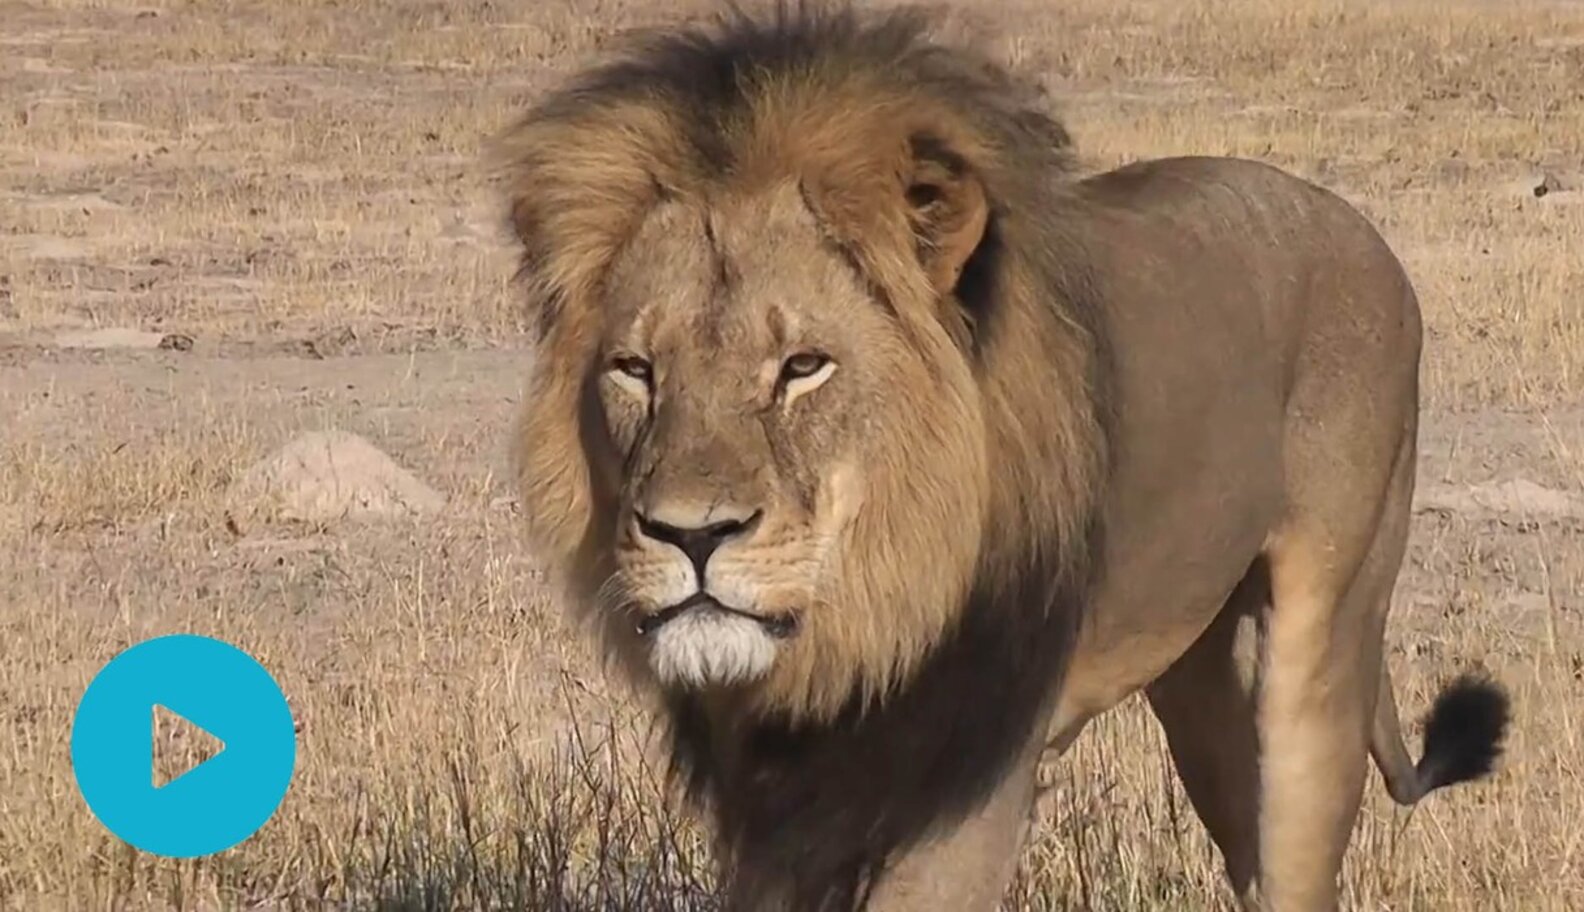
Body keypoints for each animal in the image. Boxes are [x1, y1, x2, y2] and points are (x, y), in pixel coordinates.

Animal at [495, 4, 1511, 910]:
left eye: (802, 367)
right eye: (635, 369)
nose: (690, 536)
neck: (858, 620)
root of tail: (1354, 223)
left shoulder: (963, 798)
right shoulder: (777, 814)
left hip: (1323, 645)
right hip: (1203, 680)